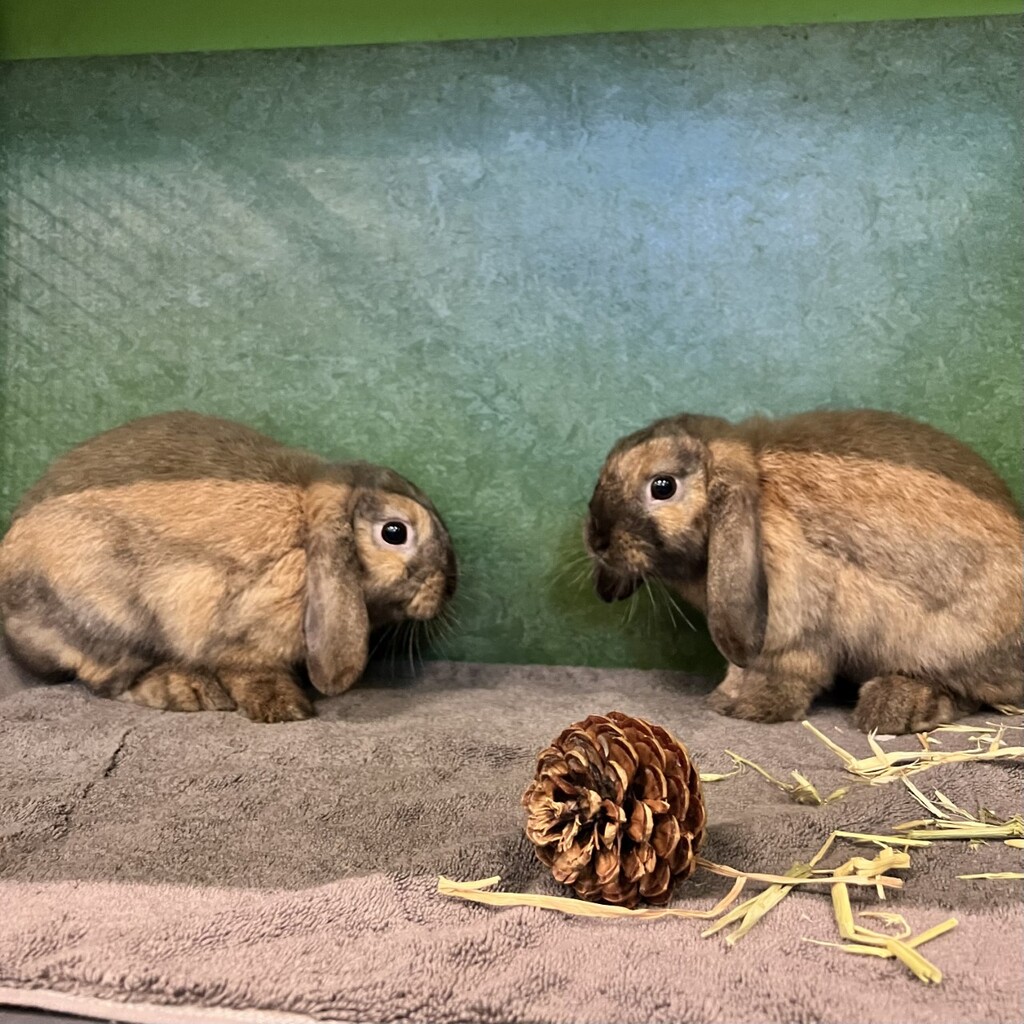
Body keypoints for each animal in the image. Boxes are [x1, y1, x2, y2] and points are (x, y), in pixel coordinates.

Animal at [0, 411, 457, 723]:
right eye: (395, 532)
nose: (449, 586)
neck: (303, 534)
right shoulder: (242, 632)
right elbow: (248, 669)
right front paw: (284, 708)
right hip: (109, 617)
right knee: (108, 678)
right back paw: (188, 690)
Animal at [584, 408, 1023, 734]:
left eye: (662, 486)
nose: (597, 540)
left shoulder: (790, 633)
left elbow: (783, 671)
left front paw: (749, 708)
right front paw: (726, 698)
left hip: (944, 643)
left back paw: (895, 708)